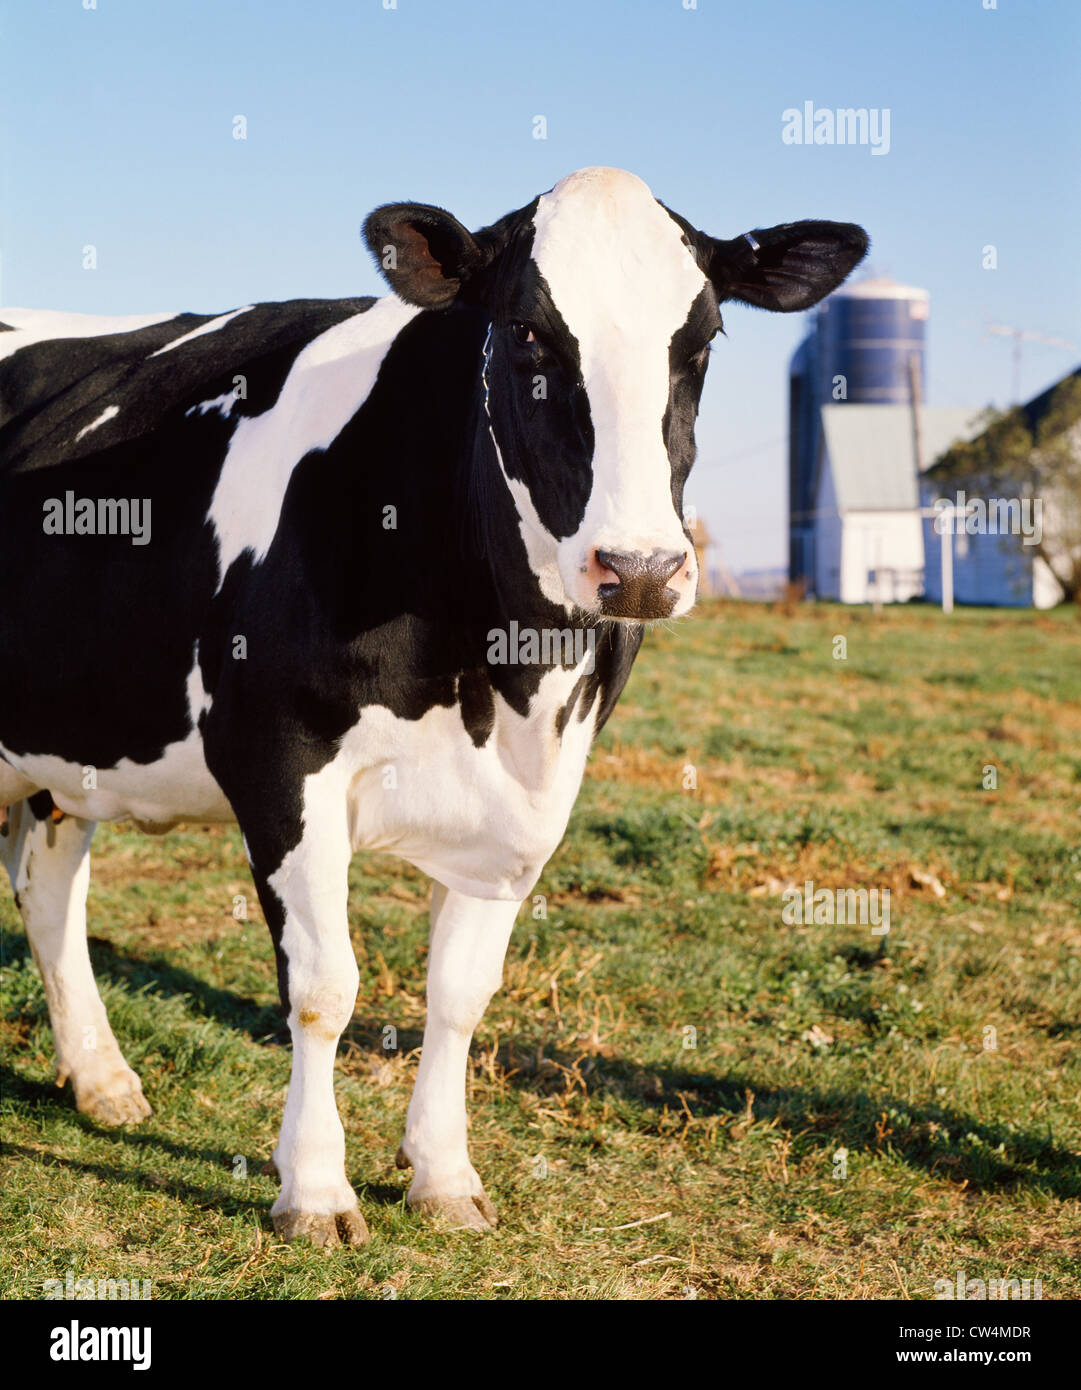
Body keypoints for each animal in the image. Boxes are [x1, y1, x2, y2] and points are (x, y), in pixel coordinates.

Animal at [0, 167, 867, 1246]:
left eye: (702, 338)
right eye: (527, 332)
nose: (639, 570)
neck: (504, 670)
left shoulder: (535, 793)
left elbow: (458, 994)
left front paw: (444, 1174)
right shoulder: (278, 759)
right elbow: (322, 988)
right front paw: (315, 1190)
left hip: (64, 742)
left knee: (48, 889)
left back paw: (102, 1079)